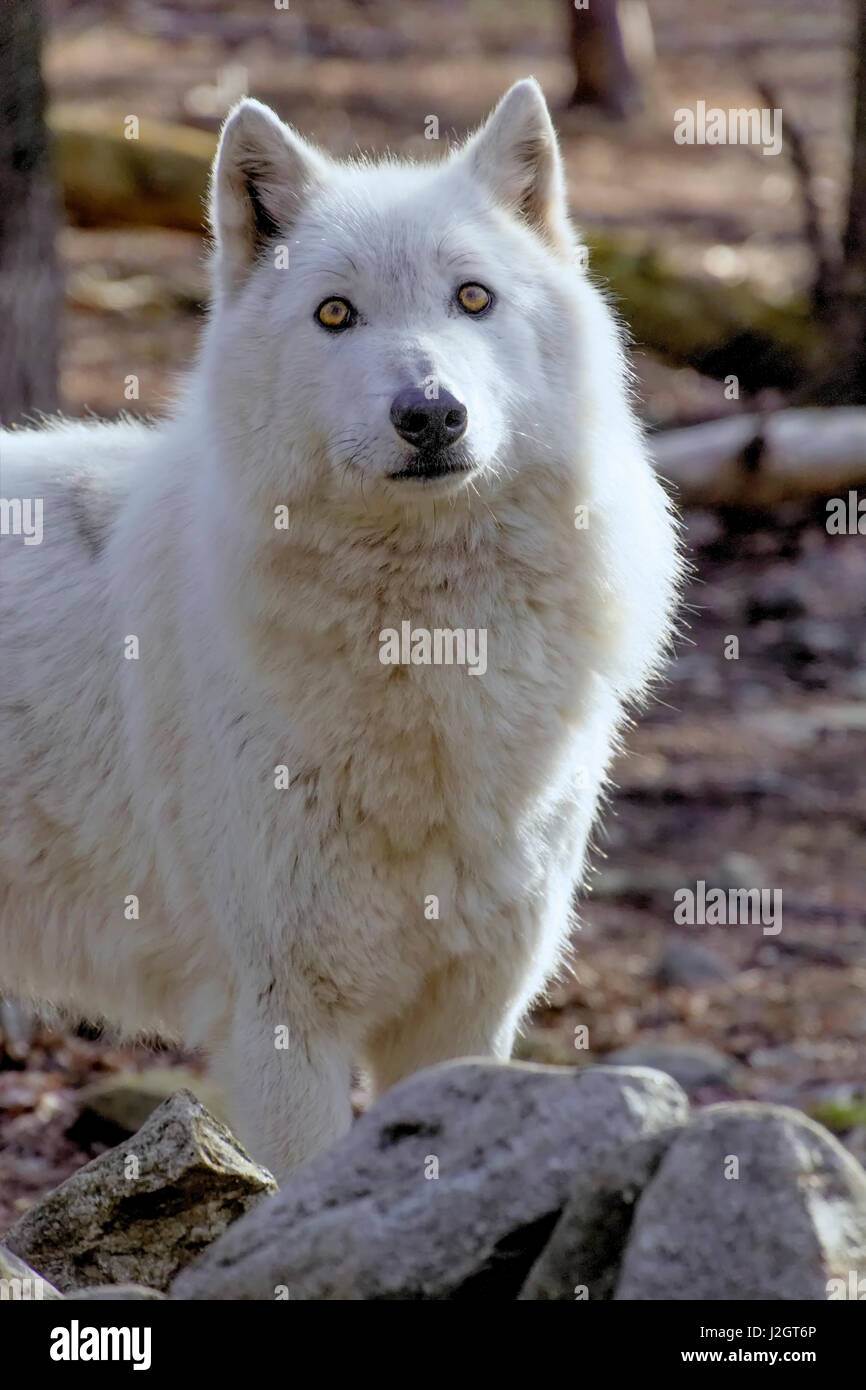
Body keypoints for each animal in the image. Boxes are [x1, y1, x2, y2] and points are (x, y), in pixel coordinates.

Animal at [0, 80, 678, 1179]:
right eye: (334, 314)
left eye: (473, 299)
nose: (430, 413)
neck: (427, 649)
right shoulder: (281, 1024)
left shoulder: (467, 1012)